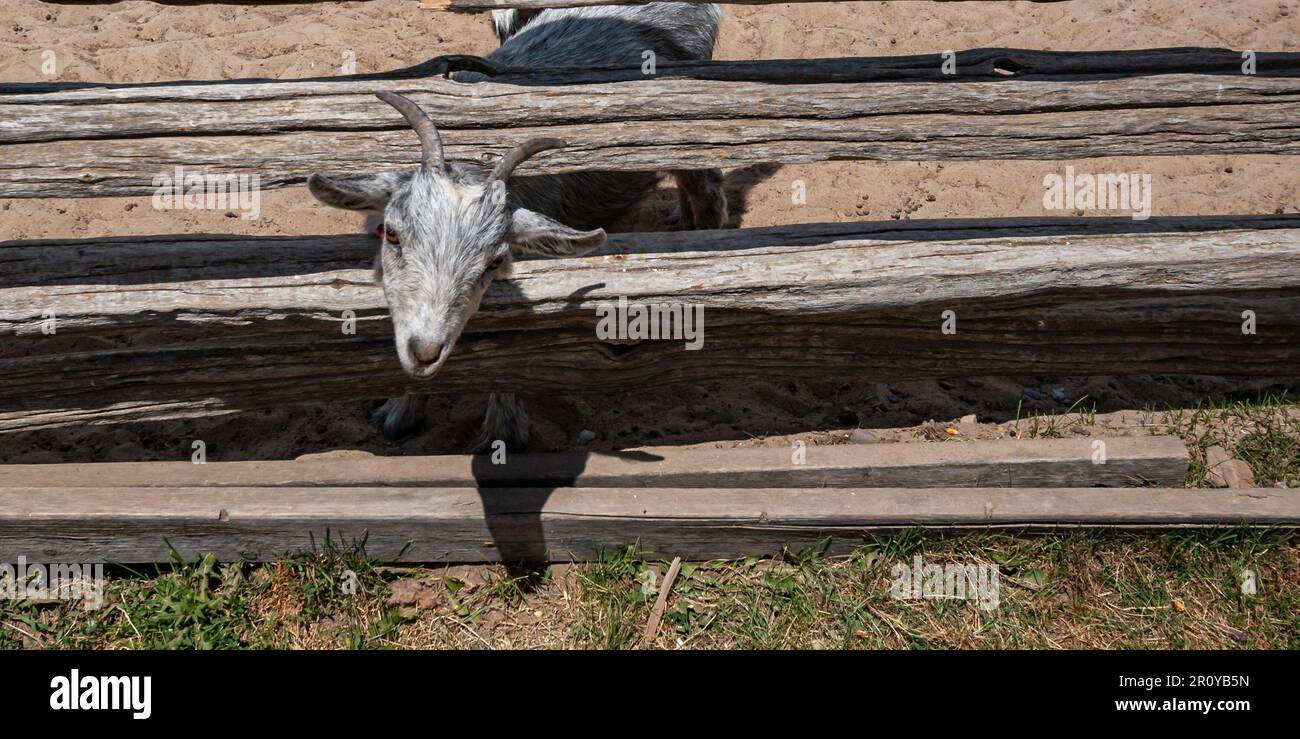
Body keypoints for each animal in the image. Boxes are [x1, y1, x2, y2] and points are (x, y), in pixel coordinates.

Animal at [308, 4, 726, 451]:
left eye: (494, 261)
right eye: (391, 234)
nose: (425, 350)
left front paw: (503, 432)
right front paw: (401, 411)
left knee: (707, 181)